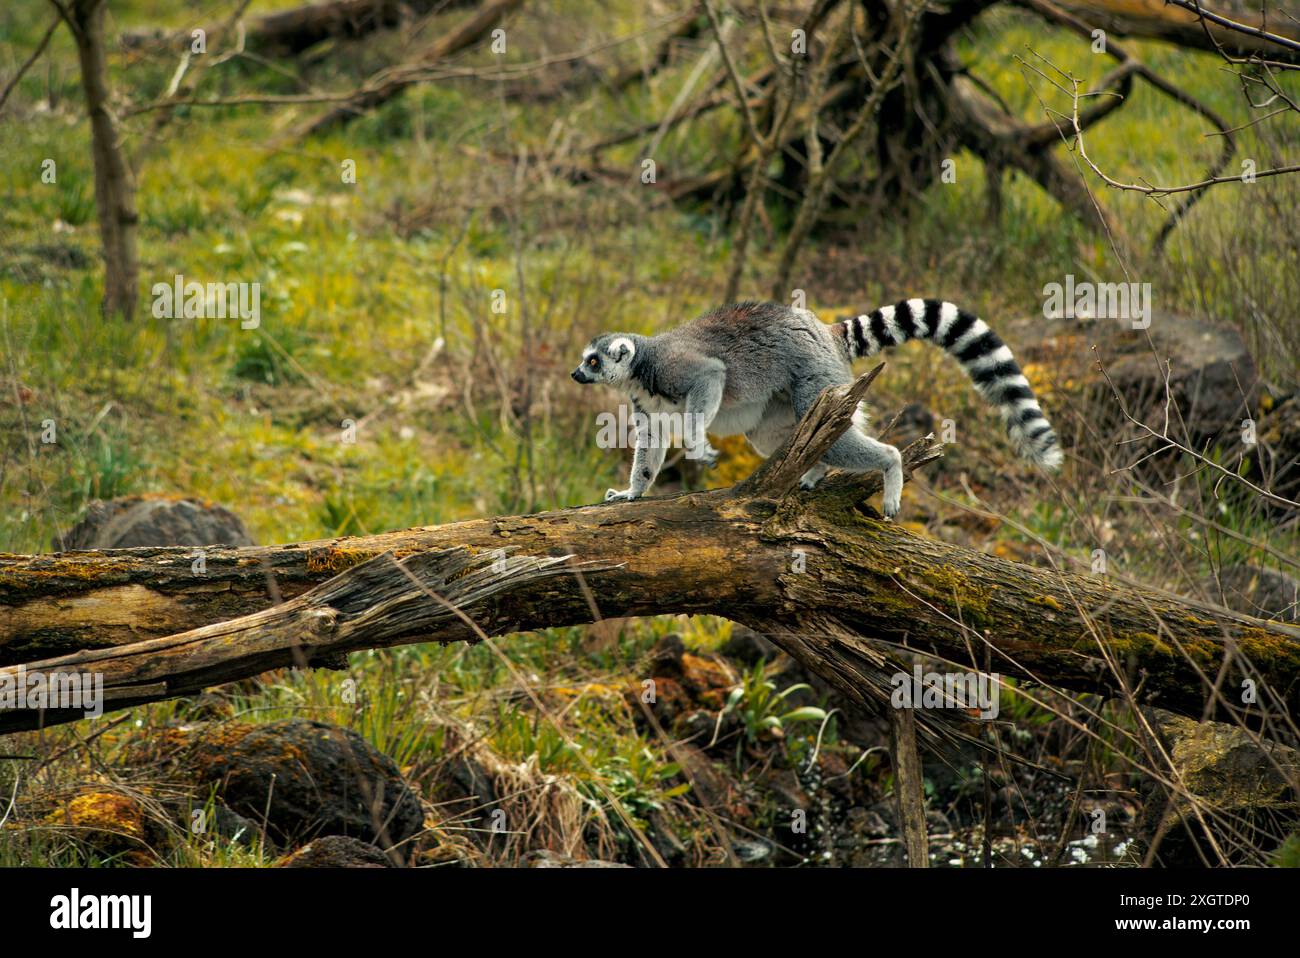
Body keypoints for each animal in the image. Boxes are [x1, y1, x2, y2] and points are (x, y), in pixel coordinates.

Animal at [571, 300, 1062, 517]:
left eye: (593, 361)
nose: (576, 374)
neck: (639, 370)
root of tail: (823, 330)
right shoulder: (647, 402)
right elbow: (650, 443)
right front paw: (632, 493)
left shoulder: (676, 369)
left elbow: (710, 376)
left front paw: (697, 445)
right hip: (782, 403)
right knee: (777, 434)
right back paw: (812, 472)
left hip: (815, 377)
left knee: (849, 436)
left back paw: (891, 467)